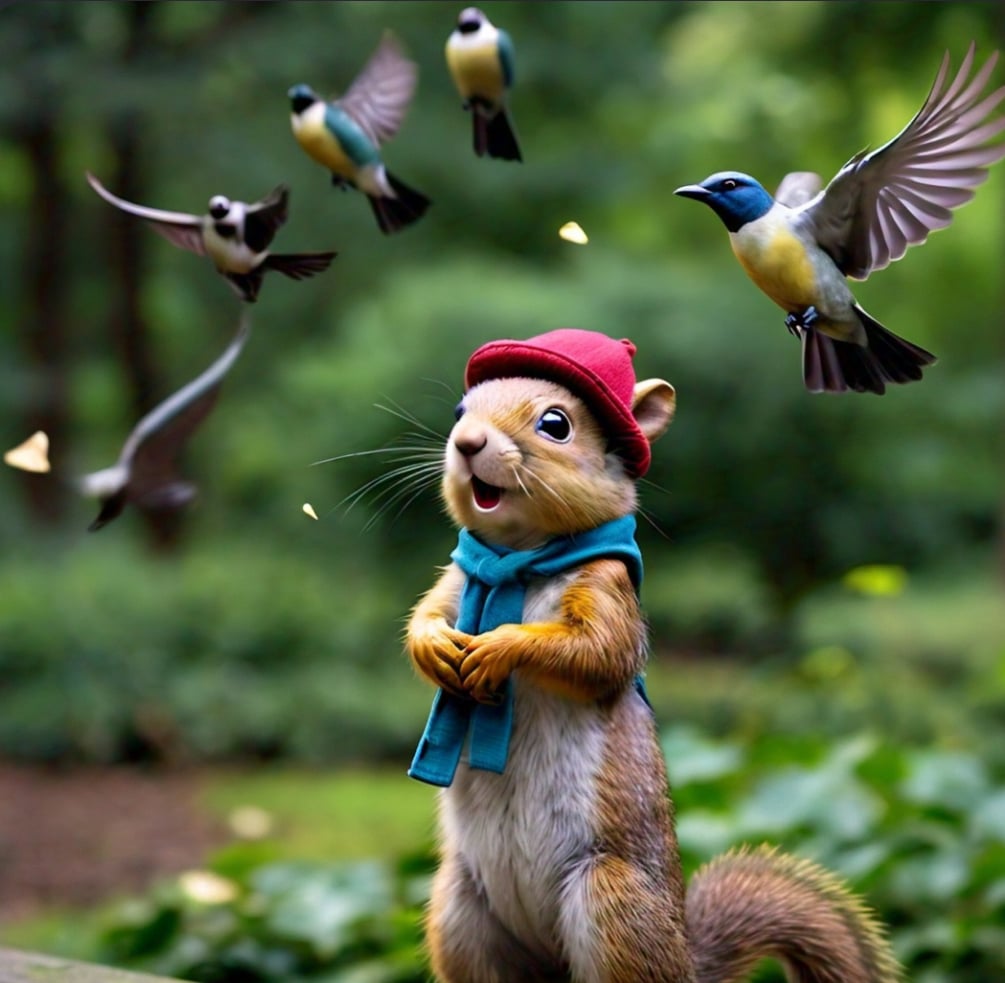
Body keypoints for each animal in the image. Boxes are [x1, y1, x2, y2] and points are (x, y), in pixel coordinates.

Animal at [404, 328, 901, 983]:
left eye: (556, 424)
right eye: (460, 411)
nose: (467, 443)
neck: (517, 560)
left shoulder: (609, 590)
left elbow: (597, 653)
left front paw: (498, 648)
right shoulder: (459, 579)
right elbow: (425, 616)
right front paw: (435, 645)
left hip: (611, 904)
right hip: (459, 914)